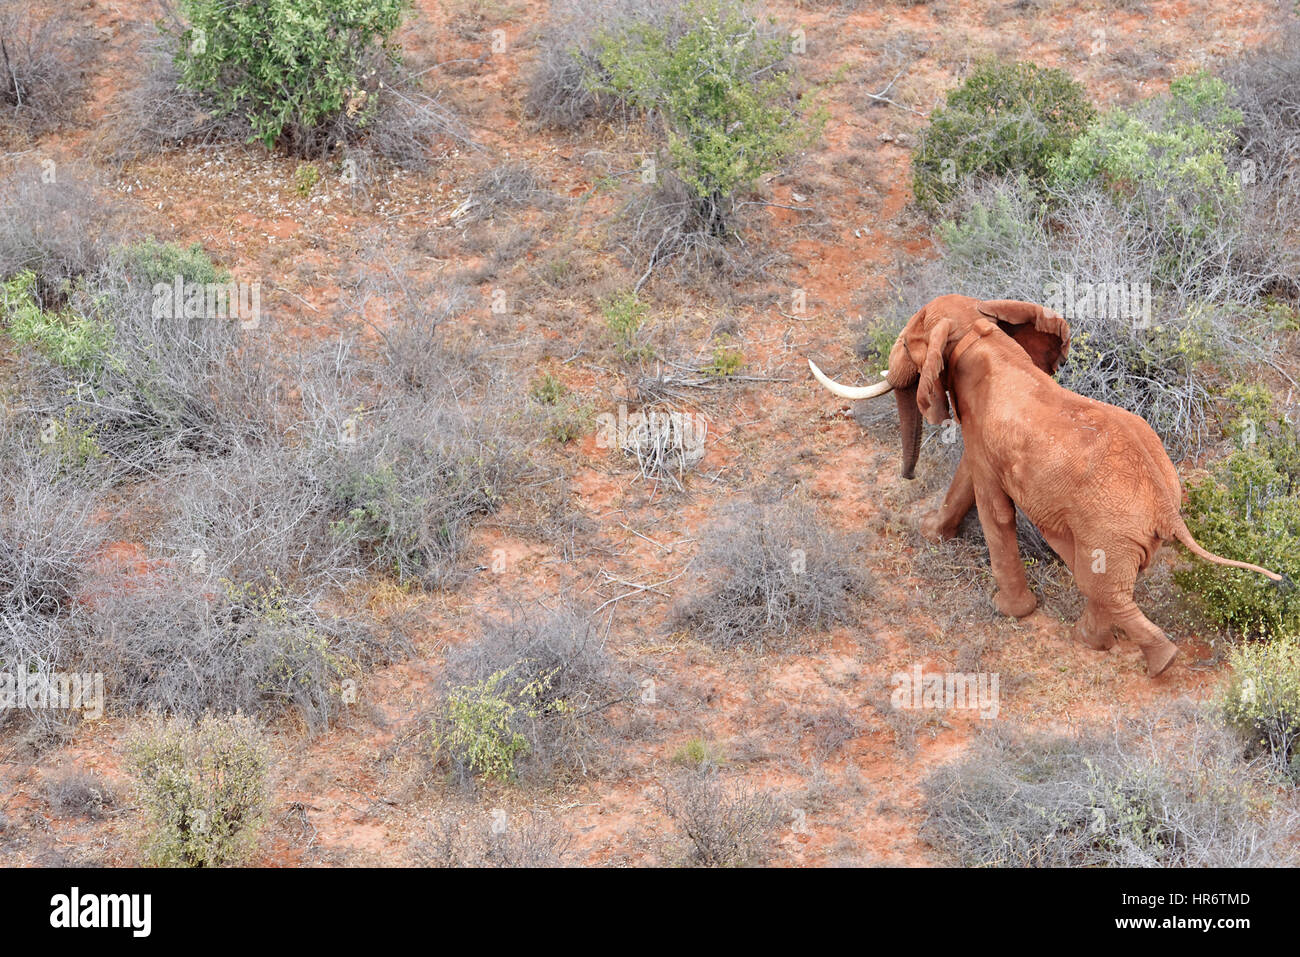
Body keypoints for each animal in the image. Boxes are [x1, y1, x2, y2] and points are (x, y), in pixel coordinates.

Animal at [808, 294, 1281, 677]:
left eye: (907, 343)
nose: (905, 478)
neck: (978, 330)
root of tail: (1167, 506)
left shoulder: (985, 436)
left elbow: (992, 506)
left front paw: (1009, 611)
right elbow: (968, 478)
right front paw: (929, 534)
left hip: (1109, 529)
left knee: (1100, 586)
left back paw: (1148, 659)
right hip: (1121, 535)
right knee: (1106, 585)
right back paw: (1101, 642)